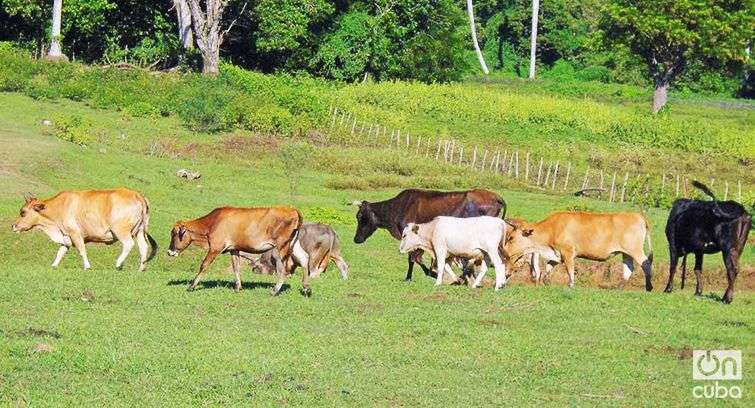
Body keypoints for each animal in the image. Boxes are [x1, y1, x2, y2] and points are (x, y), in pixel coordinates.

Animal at [11, 188, 157, 271]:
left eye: (23, 212)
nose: (13, 226)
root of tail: (137, 195)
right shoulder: (66, 236)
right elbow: (60, 252)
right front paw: (53, 266)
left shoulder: (75, 233)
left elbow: (82, 250)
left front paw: (87, 266)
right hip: (139, 231)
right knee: (143, 247)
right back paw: (141, 268)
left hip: (121, 231)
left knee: (128, 244)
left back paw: (118, 263)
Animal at [166, 206, 306, 296]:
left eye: (174, 234)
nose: (169, 252)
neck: (212, 223)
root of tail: (292, 209)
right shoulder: (234, 249)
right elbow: (236, 268)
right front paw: (238, 288)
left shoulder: (215, 247)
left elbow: (204, 265)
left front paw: (191, 286)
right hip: (293, 245)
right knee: (303, 259)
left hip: (282, 246)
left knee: (283, 269)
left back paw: (274, 291)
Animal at [353, 189, 505, 281]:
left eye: (360, 216)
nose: (356, 239)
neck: (397, 208)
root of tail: (495, 196)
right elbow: (416, 258)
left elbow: (413, 258)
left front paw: (426, 274)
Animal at [503, 211, 653, 291]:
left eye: (511, 238)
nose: (504, 251)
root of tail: (637, 215)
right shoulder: (558, 253)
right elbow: (549, 266)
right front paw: (547, 281)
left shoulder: (568, 252)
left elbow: (570, 269)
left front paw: (571, 284)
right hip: (626, 253)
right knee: (629, 268)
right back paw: (619, 287)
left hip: (635, 250)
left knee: (646, 264)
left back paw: (648, 287)